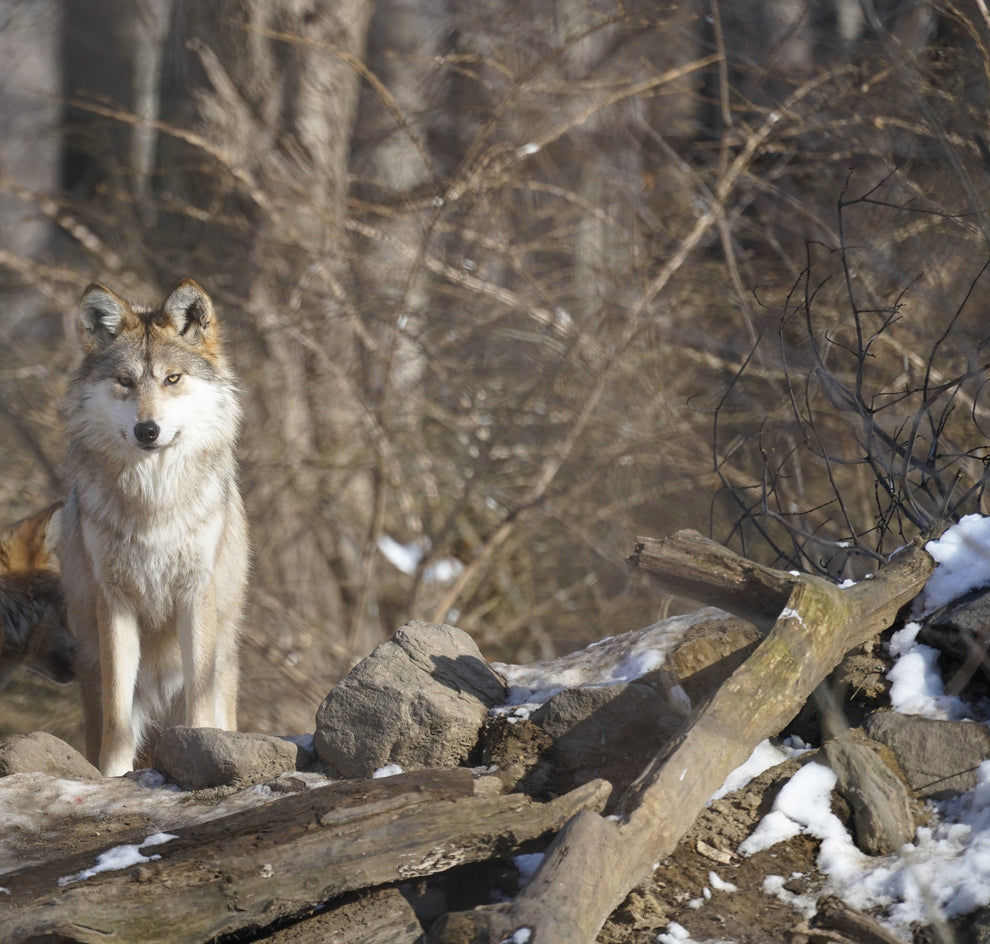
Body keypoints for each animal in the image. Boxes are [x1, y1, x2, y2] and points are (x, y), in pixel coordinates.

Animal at [60, 278, 249, 776]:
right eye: (125, 381)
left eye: (172, 379)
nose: (148, 430)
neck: (154, 502)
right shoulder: (114, 601)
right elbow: (118, 711)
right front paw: (113, 775)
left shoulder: (195, 592)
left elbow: (200, 698)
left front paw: (202, 748)